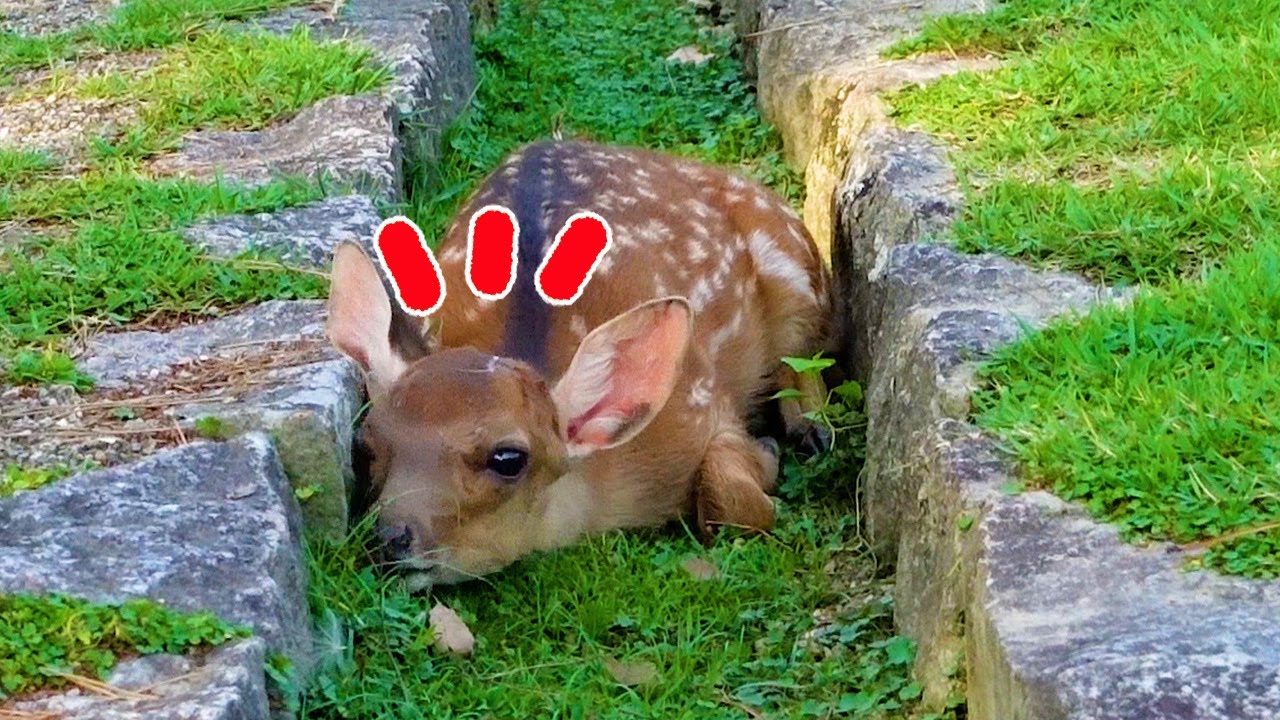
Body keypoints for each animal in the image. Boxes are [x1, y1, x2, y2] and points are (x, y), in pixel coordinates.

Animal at [325, 139, 833, 589]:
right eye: (364, 445)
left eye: (507, 458)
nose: (390, 536)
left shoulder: (702, 404)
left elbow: (735, 501)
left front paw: (767, 453)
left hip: (790, 256)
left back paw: (811, 430)